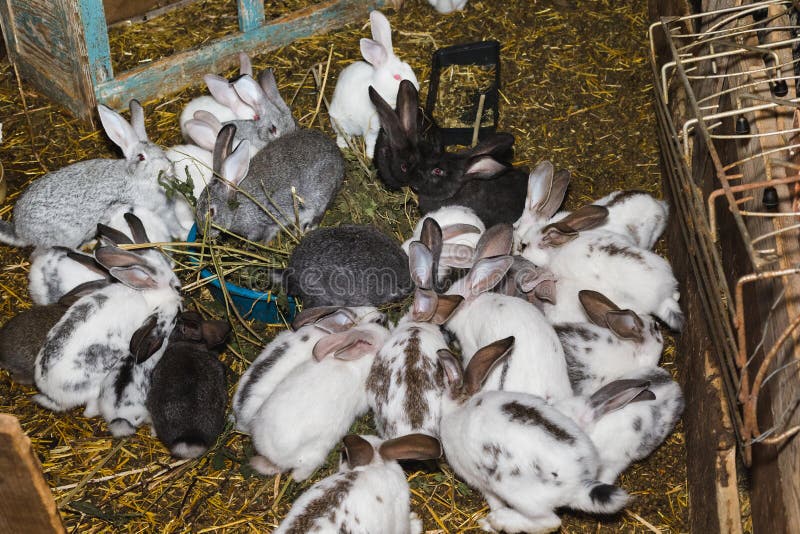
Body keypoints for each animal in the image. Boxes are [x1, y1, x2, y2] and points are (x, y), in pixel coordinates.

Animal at [33, 245, 182, 416]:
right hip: (95, 390)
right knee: (89, 412)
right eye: (175, 286)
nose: (181, 296)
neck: (147, 298)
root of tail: (52, 394)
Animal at [195, 123, 345, 245]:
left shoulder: (263, 224)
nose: (203, 233)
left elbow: (265, 234)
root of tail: (340, 160)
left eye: (211, 212)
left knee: (320, 211)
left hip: (320, 195)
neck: (237, 207)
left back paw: (307, 228)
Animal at [248, 321, 390, 481]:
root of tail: (273, 457)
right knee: (298, 475)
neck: (354, 361)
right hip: (313, 456)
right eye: (376, 342)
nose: (389, 334)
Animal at [329, 10, 419, 159]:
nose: (417, 87)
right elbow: (371, 141)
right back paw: (343, 145)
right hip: (340, 121)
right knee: (341, 134)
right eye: (396, 77)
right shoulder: (371, 127)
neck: (379, 88)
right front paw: (371, 156)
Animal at [437, 338, 629, 534]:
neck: (460, 406)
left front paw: (489, 525)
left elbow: (495, 502)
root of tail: (577, 484)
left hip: (521, 495)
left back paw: (499, 520)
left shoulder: (480, 481)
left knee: (549, 522)